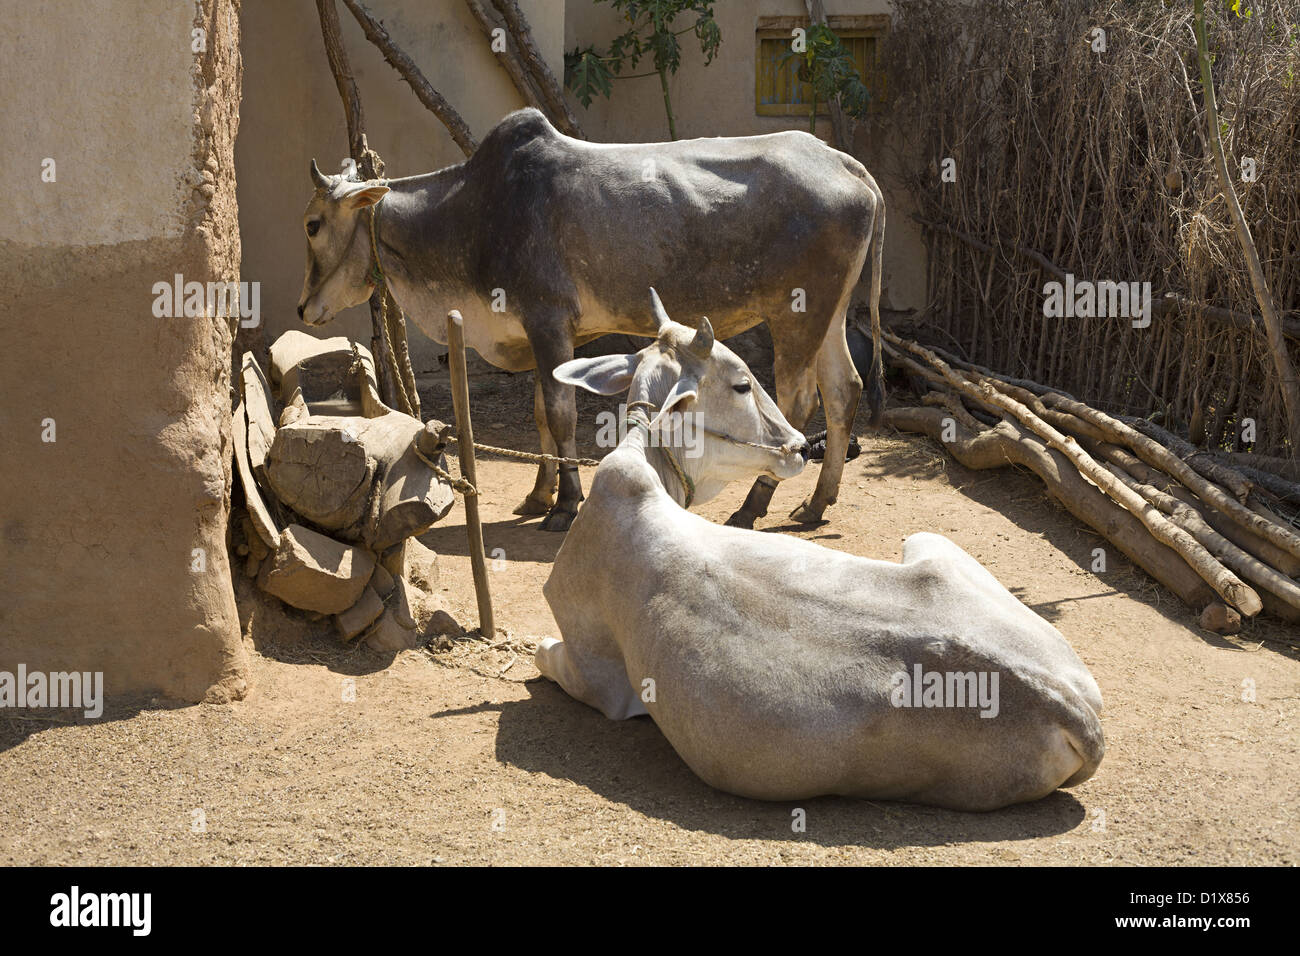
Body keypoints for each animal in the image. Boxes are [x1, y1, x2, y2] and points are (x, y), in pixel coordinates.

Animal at [296, 108, 885, 532]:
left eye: (312, 224)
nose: (303, 308)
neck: (474, 214)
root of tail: (844, 162)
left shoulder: (548, 321)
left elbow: (560, 415)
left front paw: (564, 505)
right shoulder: (540, 333)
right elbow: (539, 412)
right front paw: (538, 495)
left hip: (796, 315)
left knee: (800, 403)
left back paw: (751, 506)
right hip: (829, 316)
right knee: (845, 390)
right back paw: (816, 504)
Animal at [535, 290, 1105, 812]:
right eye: (741, 383)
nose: (795, 445)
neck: (641, 475)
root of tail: (1073, 707)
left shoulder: (595, 677)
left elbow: (543, 653)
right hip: (929, 543)